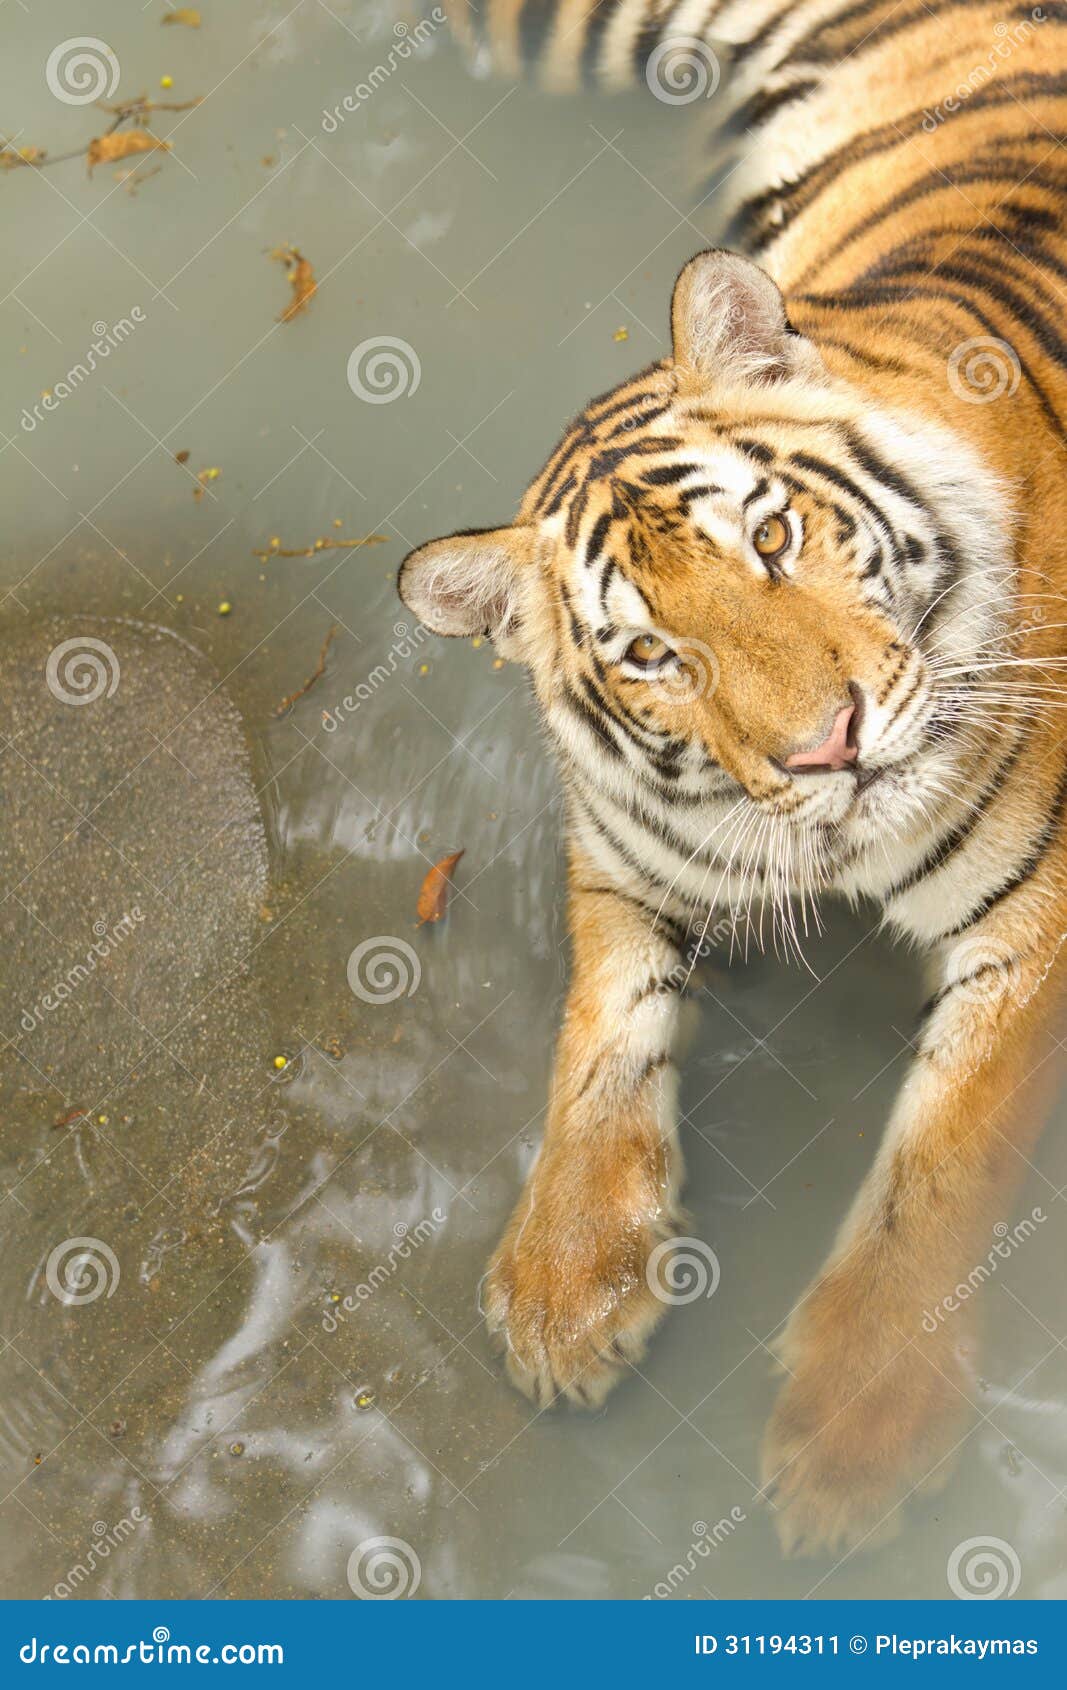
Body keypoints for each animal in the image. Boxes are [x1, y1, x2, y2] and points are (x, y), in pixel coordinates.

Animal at [398, 0, 1067, 1555]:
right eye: (650, 653)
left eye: (769, 534)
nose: (828, 743)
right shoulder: (627, 850)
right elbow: (599, 1036)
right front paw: (562, 1286)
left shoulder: (1036, 918)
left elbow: (941, 1164)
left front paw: (855, 1440)